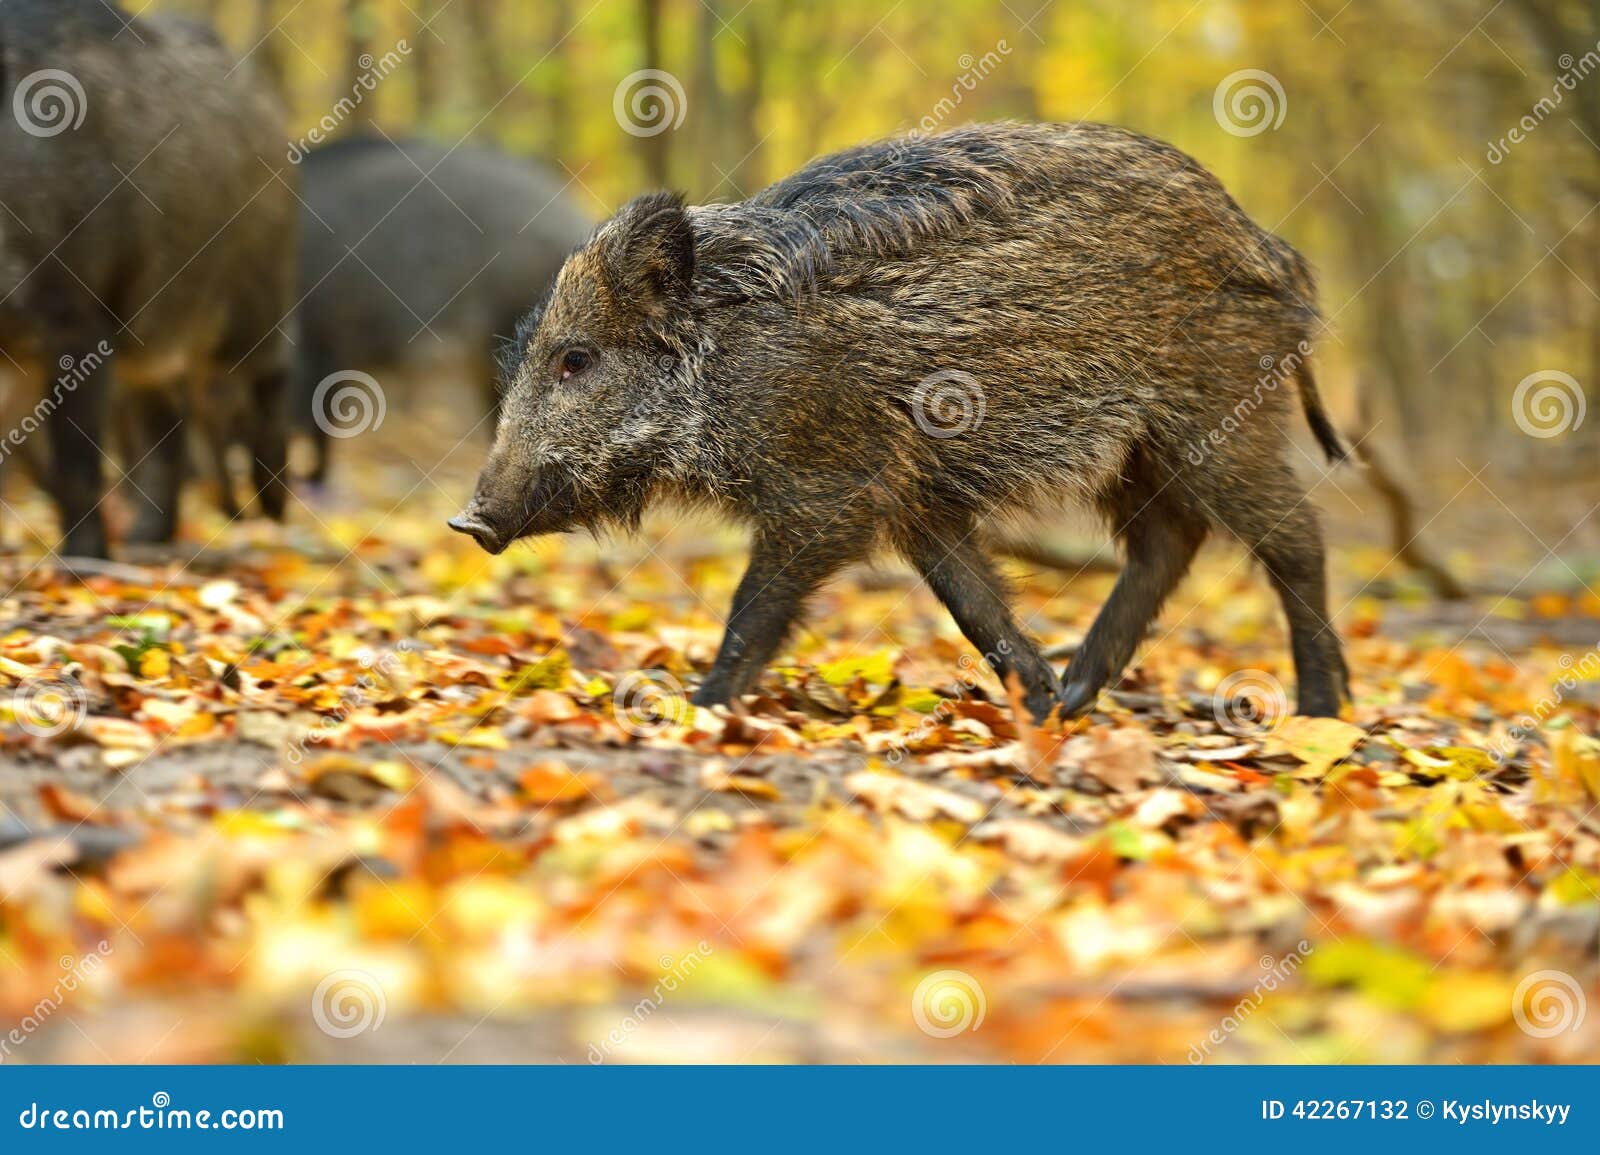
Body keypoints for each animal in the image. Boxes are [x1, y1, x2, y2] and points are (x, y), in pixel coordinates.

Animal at [450, 122, 1350, 721]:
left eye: (575, 359)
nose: (469, 519)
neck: (725, 357)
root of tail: (1273, 249)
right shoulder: (917, 496)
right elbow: (973, 601)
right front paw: (1037, 703)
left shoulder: (829, 490)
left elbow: (757, 604)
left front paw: (700, 706)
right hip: (1140, 449)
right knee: (1169, 540)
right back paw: (1076, 696)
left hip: (1222, 415)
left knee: (1294, 540)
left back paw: (1320, 711)